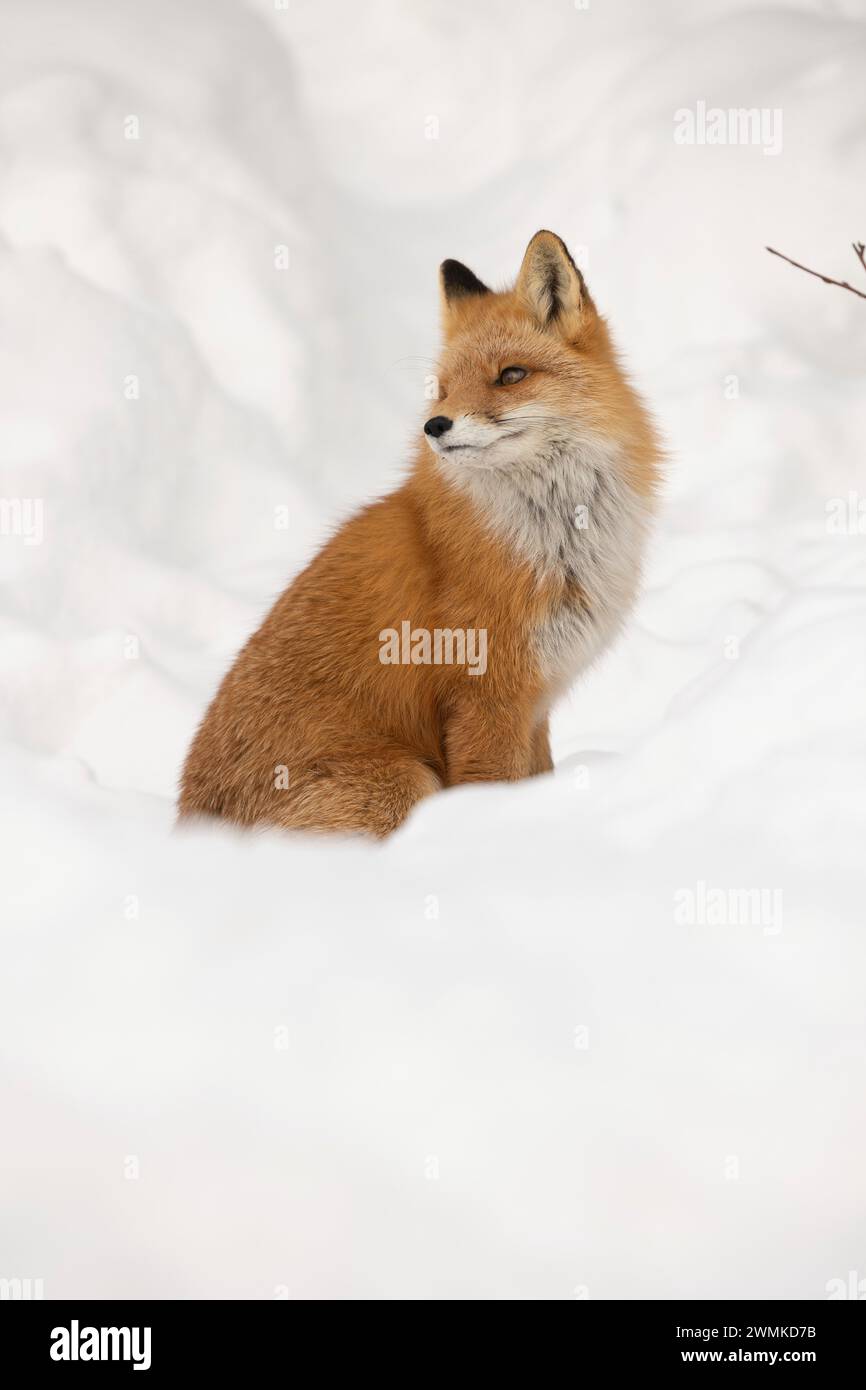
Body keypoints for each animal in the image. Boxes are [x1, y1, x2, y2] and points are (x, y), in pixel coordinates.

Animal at [178, 230, 662, 837]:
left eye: (511, 375)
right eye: (443, 389)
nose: (435, 425)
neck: (555, 540)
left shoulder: (535, 705)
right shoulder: (486, 696)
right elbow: (492, 791)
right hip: (403, 783)